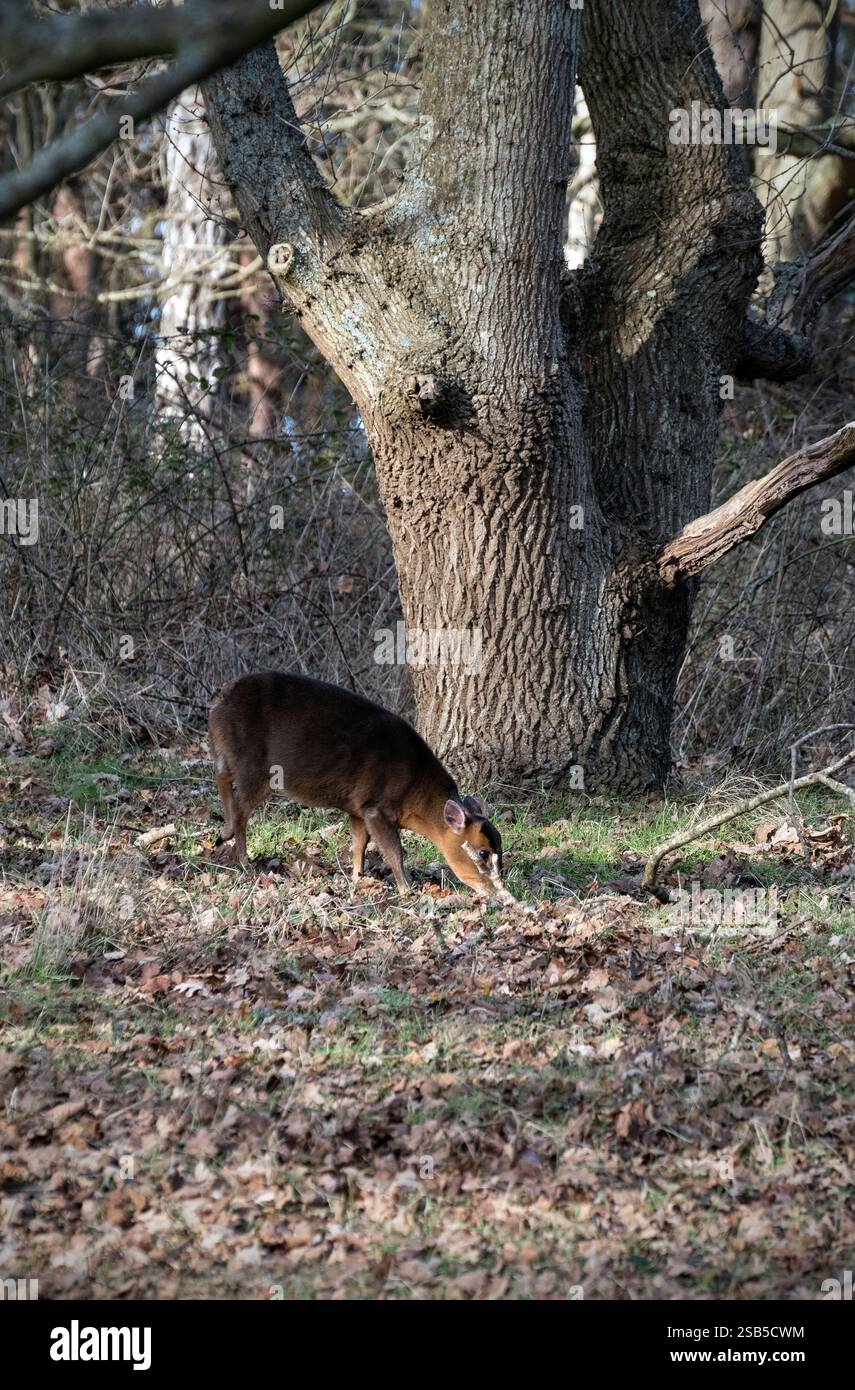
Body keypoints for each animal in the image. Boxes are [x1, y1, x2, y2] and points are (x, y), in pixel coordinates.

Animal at [208, 671, 511, 901]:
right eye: (482, 853)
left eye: (500, 849)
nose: (499, 892)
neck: (415, 794)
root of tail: (219, 703)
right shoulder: (376, 806)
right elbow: (393, 850)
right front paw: (406, 889)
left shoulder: (357, 807)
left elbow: (359, 844)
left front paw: (357, 877)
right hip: (256, 765)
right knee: (241, 807)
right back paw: (243, 859)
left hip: (233, 752)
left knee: (221, 775)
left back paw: (223, 834)